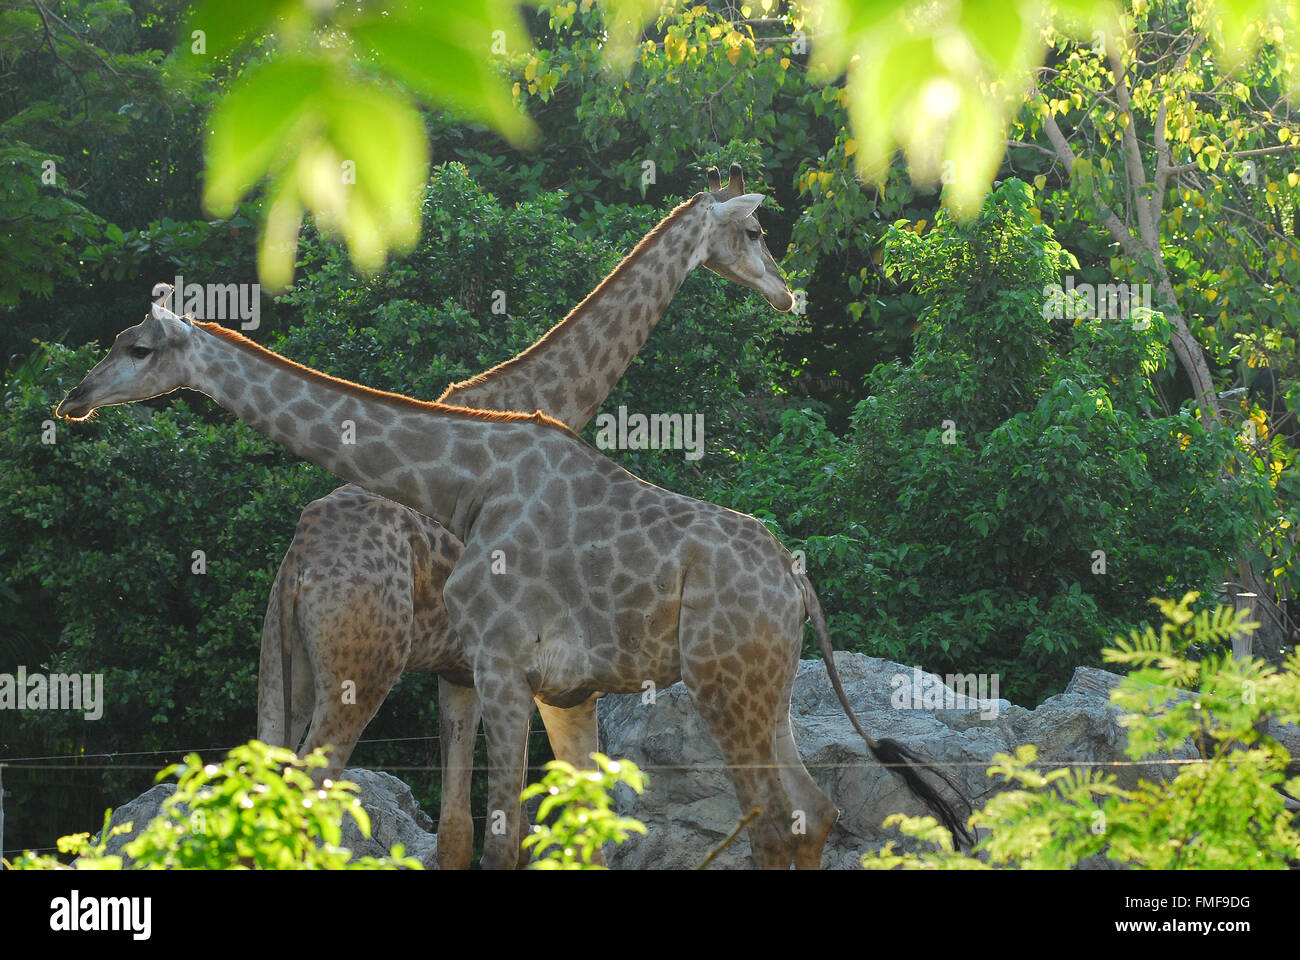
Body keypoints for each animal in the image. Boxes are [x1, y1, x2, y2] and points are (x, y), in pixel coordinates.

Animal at [57, 328, 972, 873]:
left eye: (138, 346)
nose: (73, 398)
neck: (466, 483)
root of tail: (797, 580)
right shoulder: (560, 690)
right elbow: (568, 836)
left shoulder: (500, 667)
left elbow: (503, 838)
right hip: (763, 686)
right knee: (813, 811)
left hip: (724, 683)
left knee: (777, 819)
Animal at [258, 166, 794, 869]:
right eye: (755, 230)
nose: (788, 295)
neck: (542, 399)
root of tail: (299, 564)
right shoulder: (512, 667)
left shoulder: (458, 673)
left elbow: (456, 831)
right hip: (359, 668)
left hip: (284, 671)